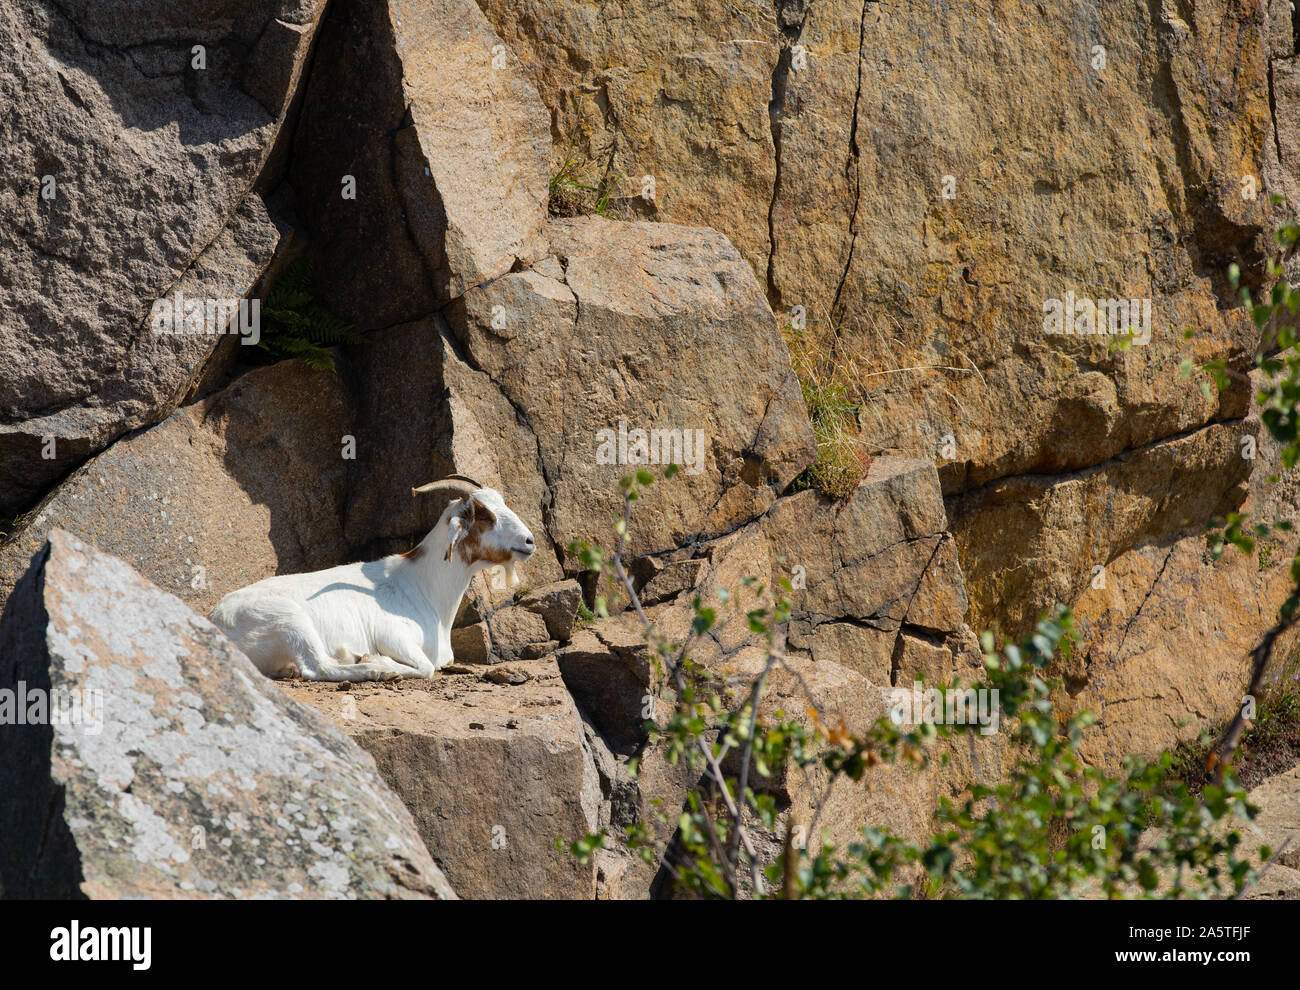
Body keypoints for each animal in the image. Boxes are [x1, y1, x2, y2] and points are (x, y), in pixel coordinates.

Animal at [208, 477, 536, 681]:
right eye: (484, 515)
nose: (529, 541)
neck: (421, 585)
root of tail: (216, 621)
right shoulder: (391, 633)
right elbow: (426, 667)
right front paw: (377, 661)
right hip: (290, 621)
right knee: (318, 668)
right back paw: (370, 668)